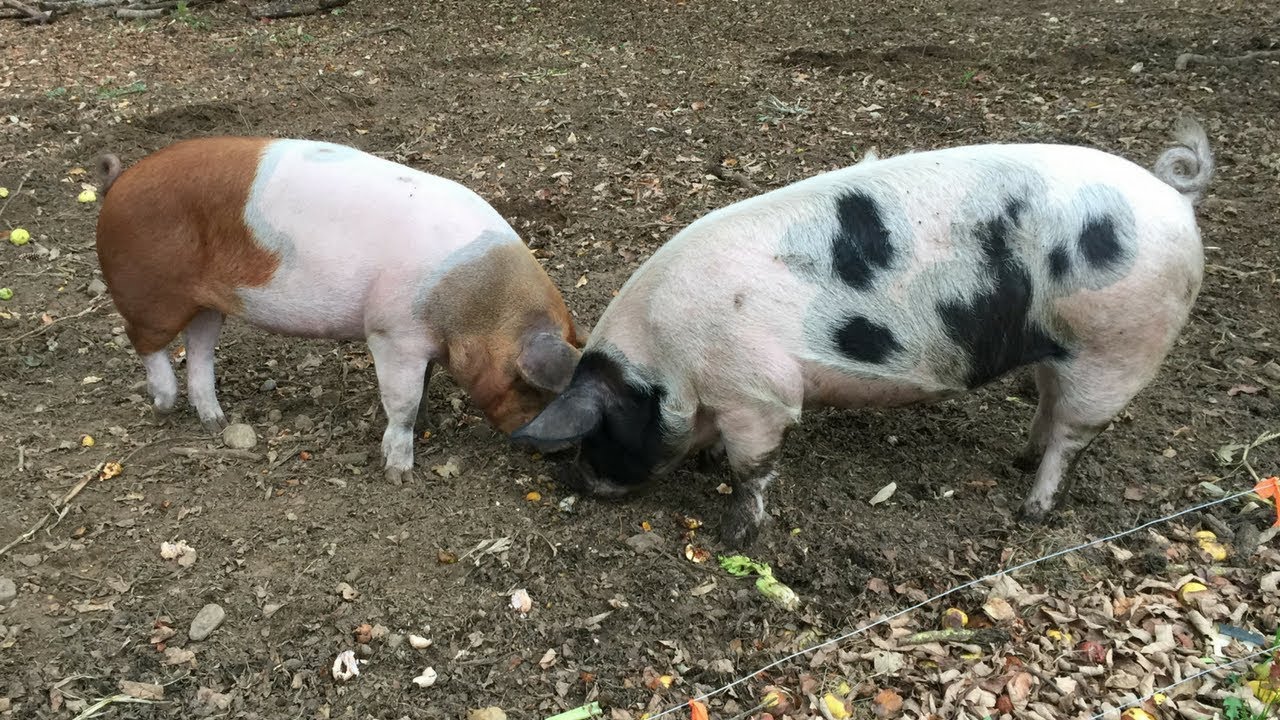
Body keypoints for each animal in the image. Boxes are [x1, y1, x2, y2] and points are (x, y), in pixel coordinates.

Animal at [95, 137, 585, 481]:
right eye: (531, 389)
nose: (558, 450)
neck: (474, 306)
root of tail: (117, 182)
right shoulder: (392, 335)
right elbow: (403, 403)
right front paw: (399, 475)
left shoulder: (418, 341)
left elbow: (422, 387)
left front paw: (427, 422)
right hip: (151, 295)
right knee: (145, 342)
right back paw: (164, 406)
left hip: (207, 305)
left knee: (199, 351)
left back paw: (216, 423)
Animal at [512, 119, 1214, 546]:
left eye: (599, 432)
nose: (585, 484)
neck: (666, 366)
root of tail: (1175, 198)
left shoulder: (759, 391)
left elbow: (753, 468)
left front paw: (737, 536)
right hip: (1065, 346)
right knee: (1047, 399)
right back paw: (1018, 460)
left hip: (1117, 348)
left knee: (1073, 434)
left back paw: (1031, 511)